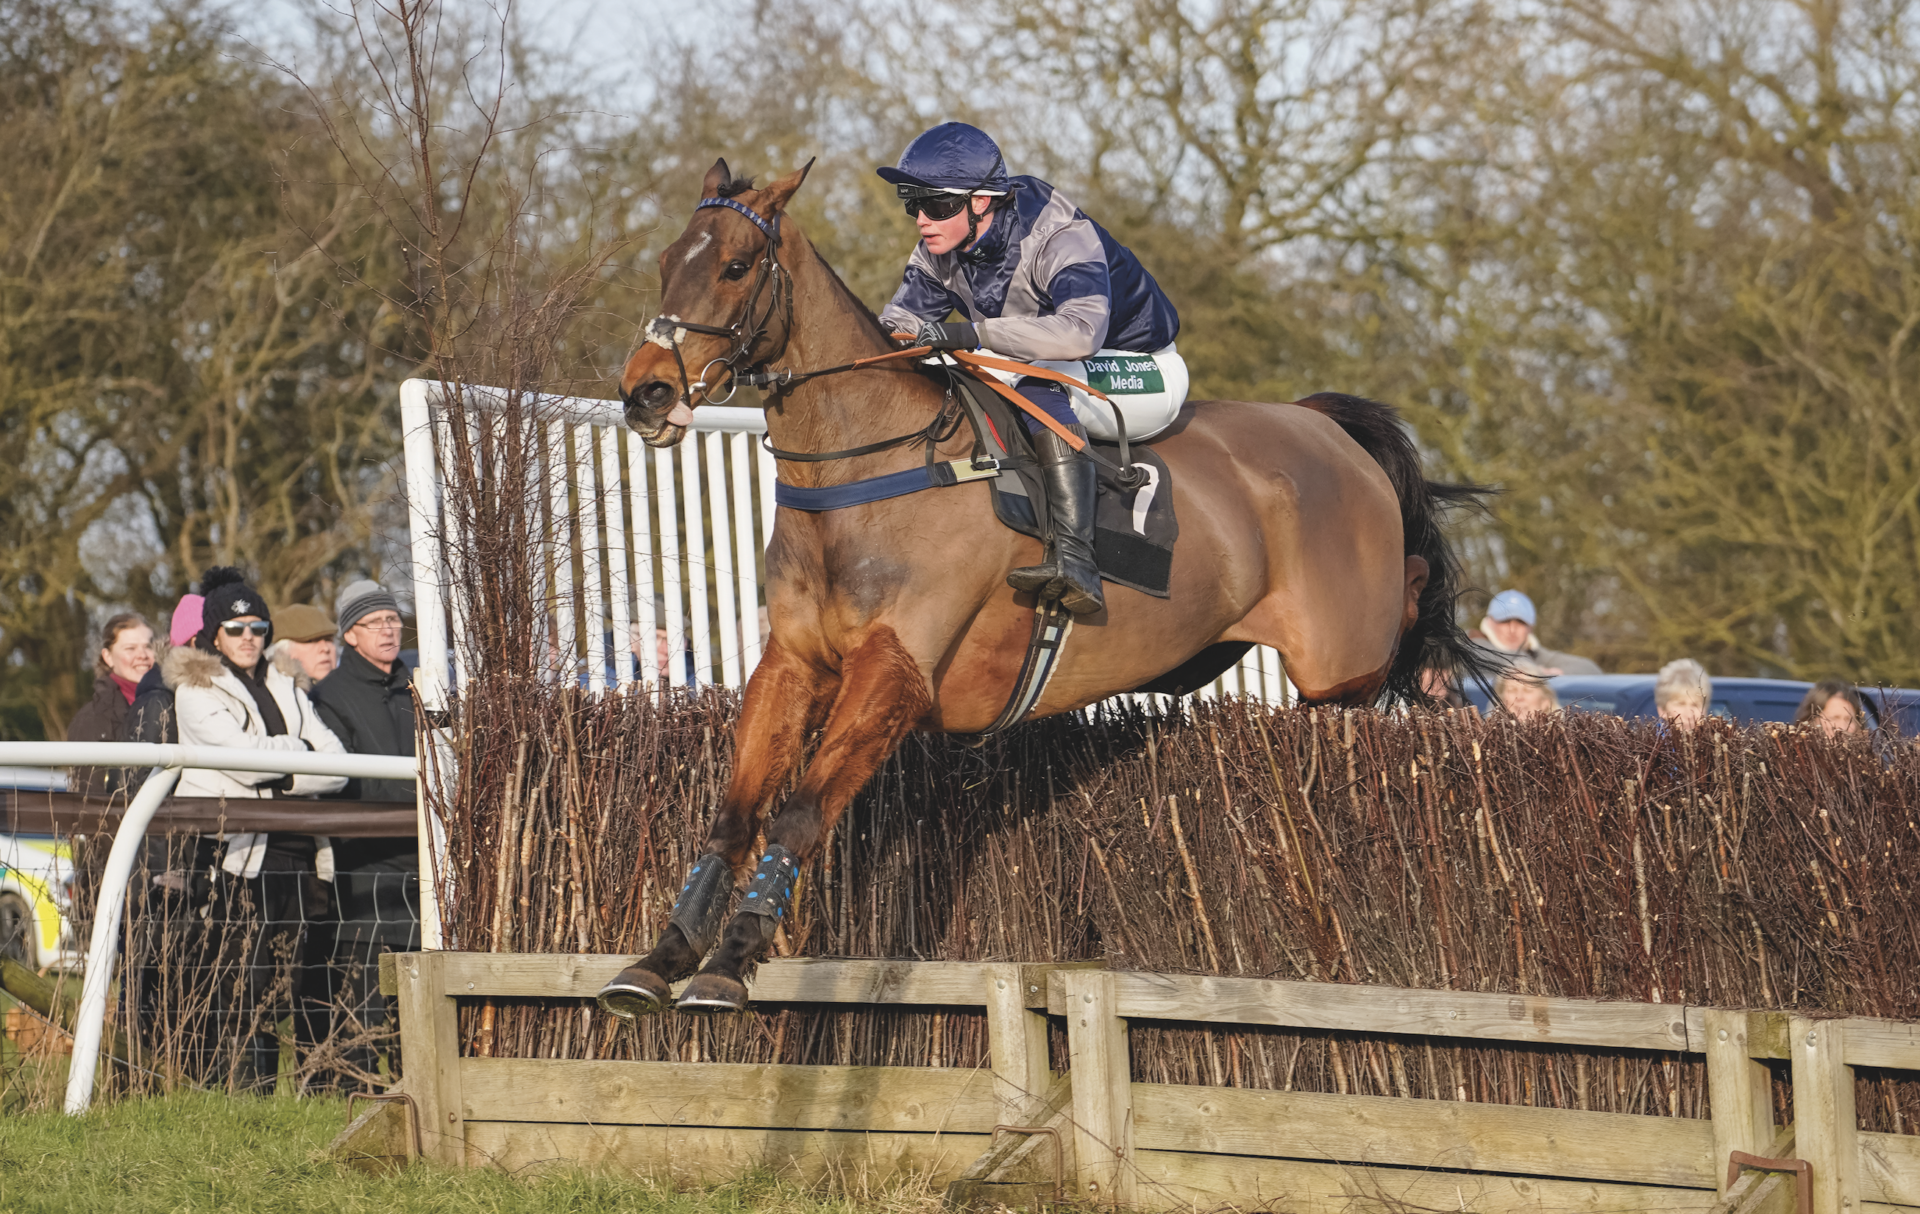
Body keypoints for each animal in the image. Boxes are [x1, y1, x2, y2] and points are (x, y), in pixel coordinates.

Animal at [597, 157, 1483, 1015]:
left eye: (737, 266)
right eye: (668, 263)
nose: (646, 392)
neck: (867, 469)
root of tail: (1324, 425)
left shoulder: (897, 673)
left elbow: (800, 811)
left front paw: (730, 964)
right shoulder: (792, 665)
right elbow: (733, 815)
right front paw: (662, 958)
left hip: (1339, 662)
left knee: (1406, 600)